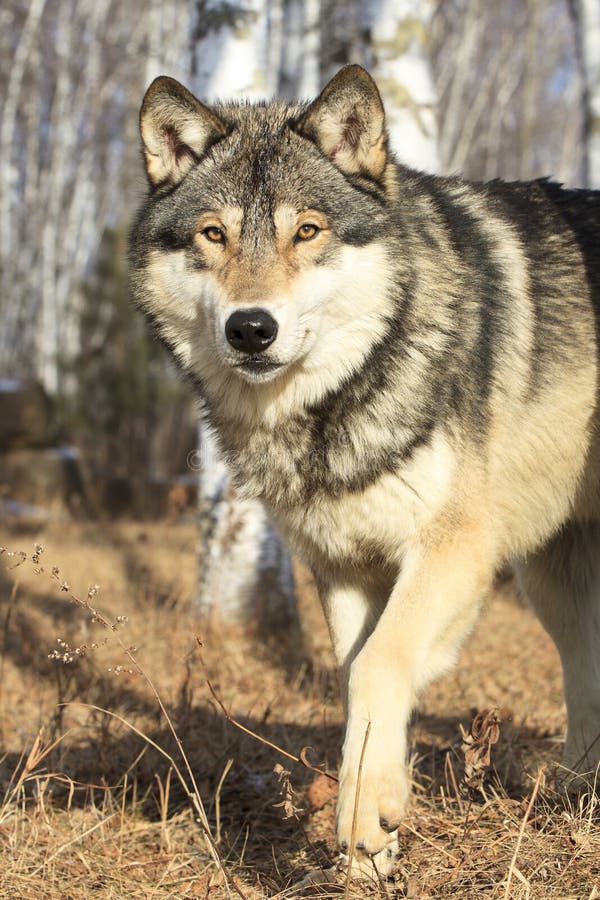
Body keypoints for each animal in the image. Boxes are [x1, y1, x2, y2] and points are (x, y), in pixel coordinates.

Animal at [129, 64, 600, 875]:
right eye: (213, 235)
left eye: (307, 231)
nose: (251, 328)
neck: (331, 409)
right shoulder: (344, 564)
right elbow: (354, 678)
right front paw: (372, 851)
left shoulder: (454, 549)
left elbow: (381, 664)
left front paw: (362, 812)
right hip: (555, 584)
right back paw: (573, 799)